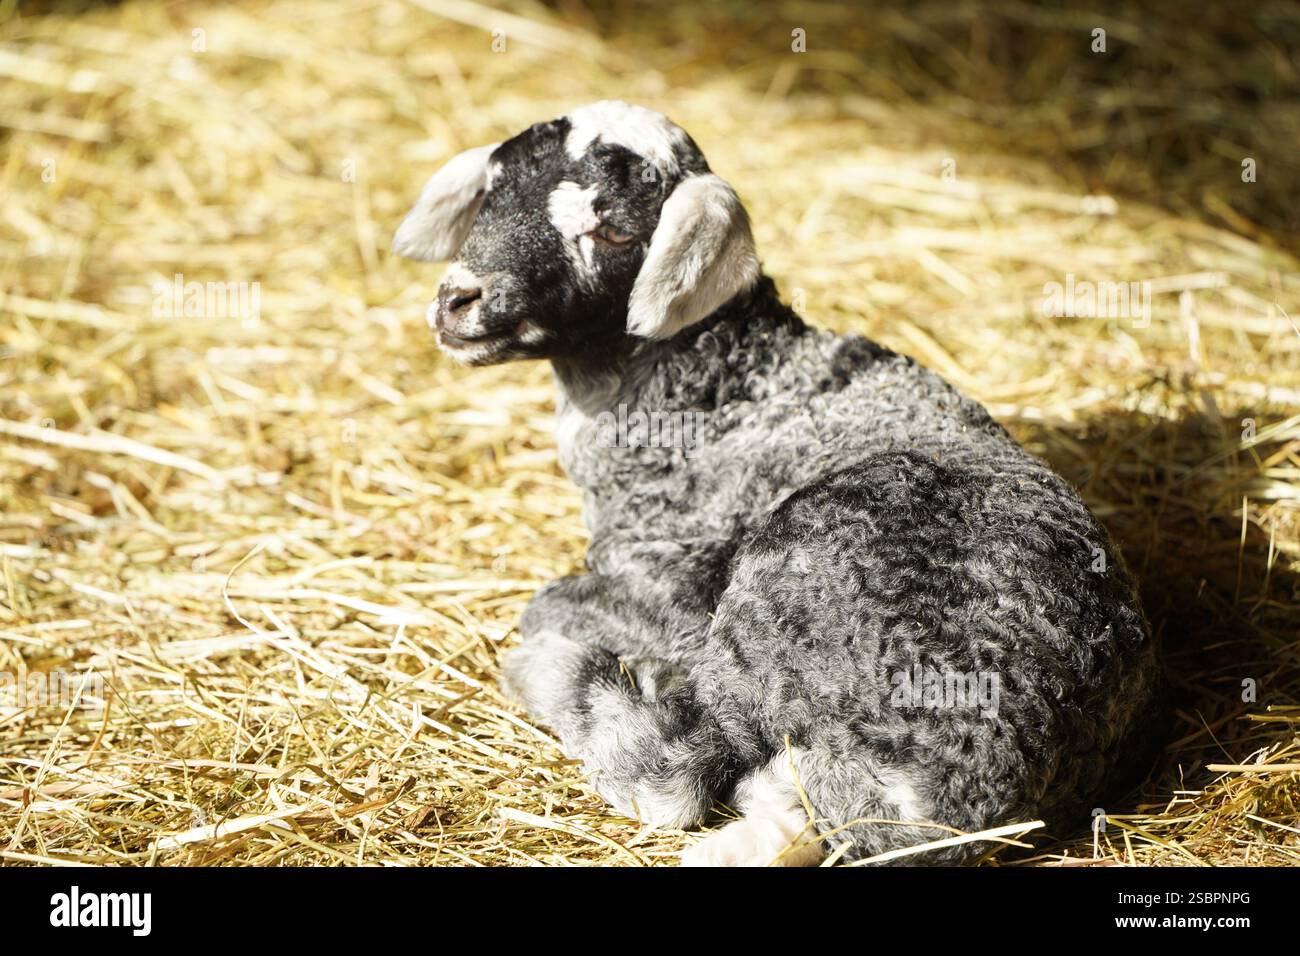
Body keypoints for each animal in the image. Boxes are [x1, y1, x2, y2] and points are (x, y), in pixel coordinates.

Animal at [391, 100, 1167, 866]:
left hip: (775, 598)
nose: (458, 299)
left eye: (611, 230)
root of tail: (952, 792)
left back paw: (559, 673)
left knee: (675, 773)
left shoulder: (668, 583)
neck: (723, 381)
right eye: (490, 192)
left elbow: (550, 604)